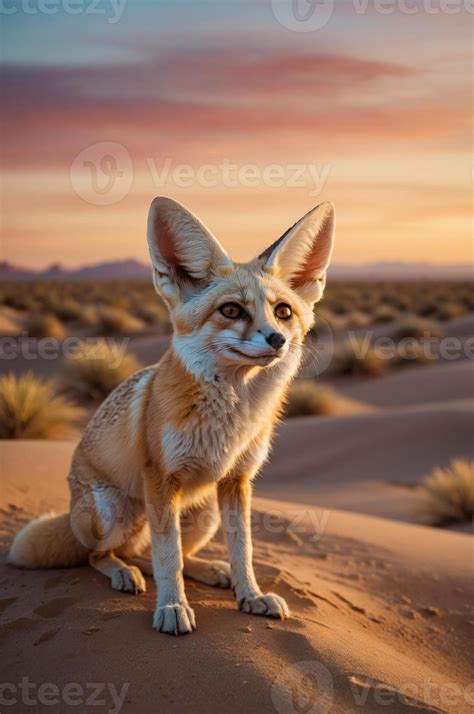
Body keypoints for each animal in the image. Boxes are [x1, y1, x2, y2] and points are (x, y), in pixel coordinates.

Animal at [9, 197, 335, 636]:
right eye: (231, 310)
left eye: (283, 312)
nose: (277, 339)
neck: (230, 419)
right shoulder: (160, 478)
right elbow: (167, 558)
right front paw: (172, 606)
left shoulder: (237, 481)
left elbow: (243, 550)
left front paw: (250, 596)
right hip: (116, 511)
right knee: (104, 554)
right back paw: (123, 573)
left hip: (204, 513)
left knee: (147, 551)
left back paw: (206, 570)